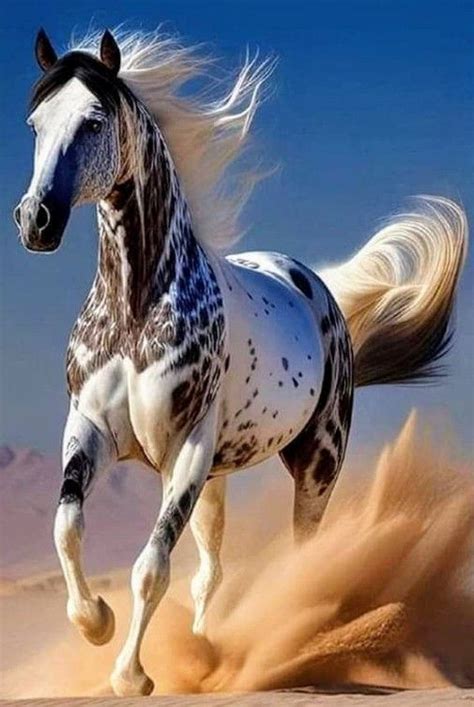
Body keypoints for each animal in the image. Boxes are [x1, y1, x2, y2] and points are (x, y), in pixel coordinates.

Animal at [14, 27, 467, 697]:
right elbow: (66, 528)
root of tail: (316, 285)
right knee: (211, 573)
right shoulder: (91, 430)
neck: (135, 312)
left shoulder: (186, 451)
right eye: (36, 122)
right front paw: (95, 622)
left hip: (315, 465)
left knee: (302, 559)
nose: (35, 220)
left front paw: (130, 676)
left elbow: (151, 567)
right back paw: (208, 651)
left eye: (94, 120)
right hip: (218, 480)